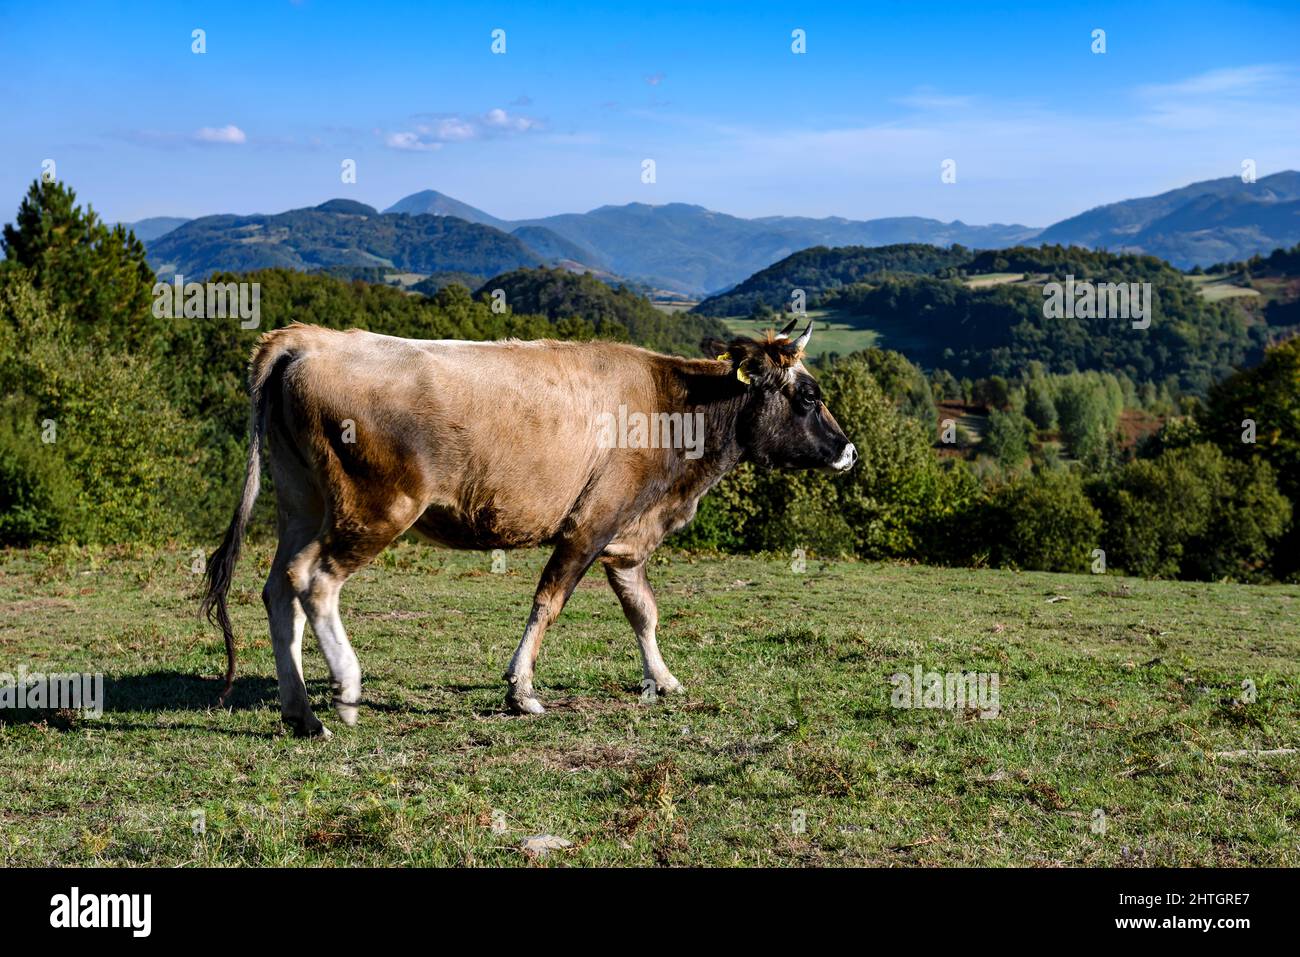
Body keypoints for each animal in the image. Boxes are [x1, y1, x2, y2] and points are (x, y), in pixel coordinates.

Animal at [201, 317, 856, 736]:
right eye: (808, 396)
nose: (848, 451)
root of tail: (304, 341)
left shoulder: (626, 535)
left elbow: (642, 610)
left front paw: (664, 679)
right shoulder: (590, 524)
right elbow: (550, 602)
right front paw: (521, 691)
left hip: (300, 499)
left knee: (278, 588)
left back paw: (299, 711)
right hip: (376, 505)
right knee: (314, 581)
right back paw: (344, 691)